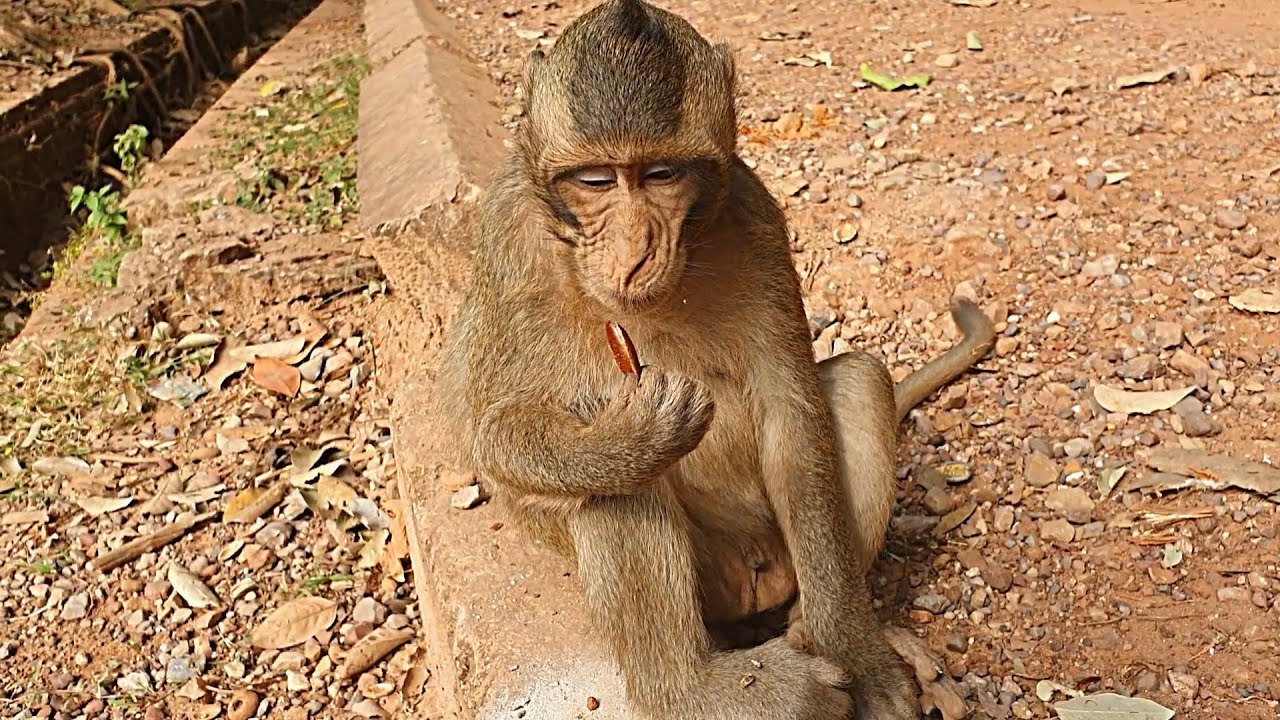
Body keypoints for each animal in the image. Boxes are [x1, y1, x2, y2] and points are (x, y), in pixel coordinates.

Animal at [435, 1, 996, 718]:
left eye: (663, 175)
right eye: (594, 180)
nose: (634, 252)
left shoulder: (756, 216)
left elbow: (792, 415)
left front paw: (857, 650)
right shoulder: (505, 235)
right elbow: (493, 432)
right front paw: (628, 437)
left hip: (780, 556)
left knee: (859, 381)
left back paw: (819, 630)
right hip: (714, 582)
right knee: (611, 492)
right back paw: (694, 688)